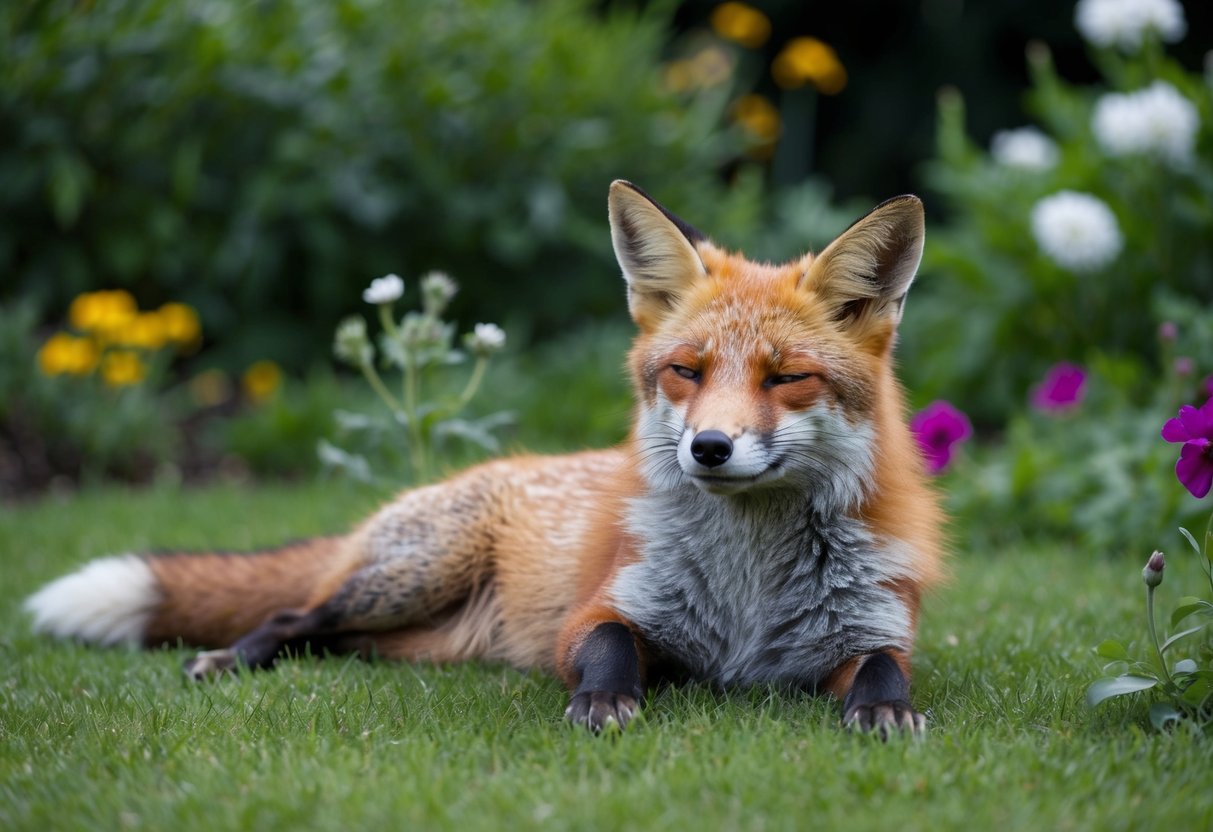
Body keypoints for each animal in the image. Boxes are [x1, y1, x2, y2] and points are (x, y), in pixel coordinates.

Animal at [25, 180, 944, 736]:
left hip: (409, 628)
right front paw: (602, 701)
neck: (749, 588)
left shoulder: (872, 627)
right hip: (410, 575)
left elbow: (884, 672)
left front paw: (885, 713)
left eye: (785, 378)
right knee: (291, 616)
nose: (708, 447)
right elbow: (607, 648)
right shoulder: (601, 611)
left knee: (328, 637)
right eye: (686, 371)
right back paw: (228, 657)